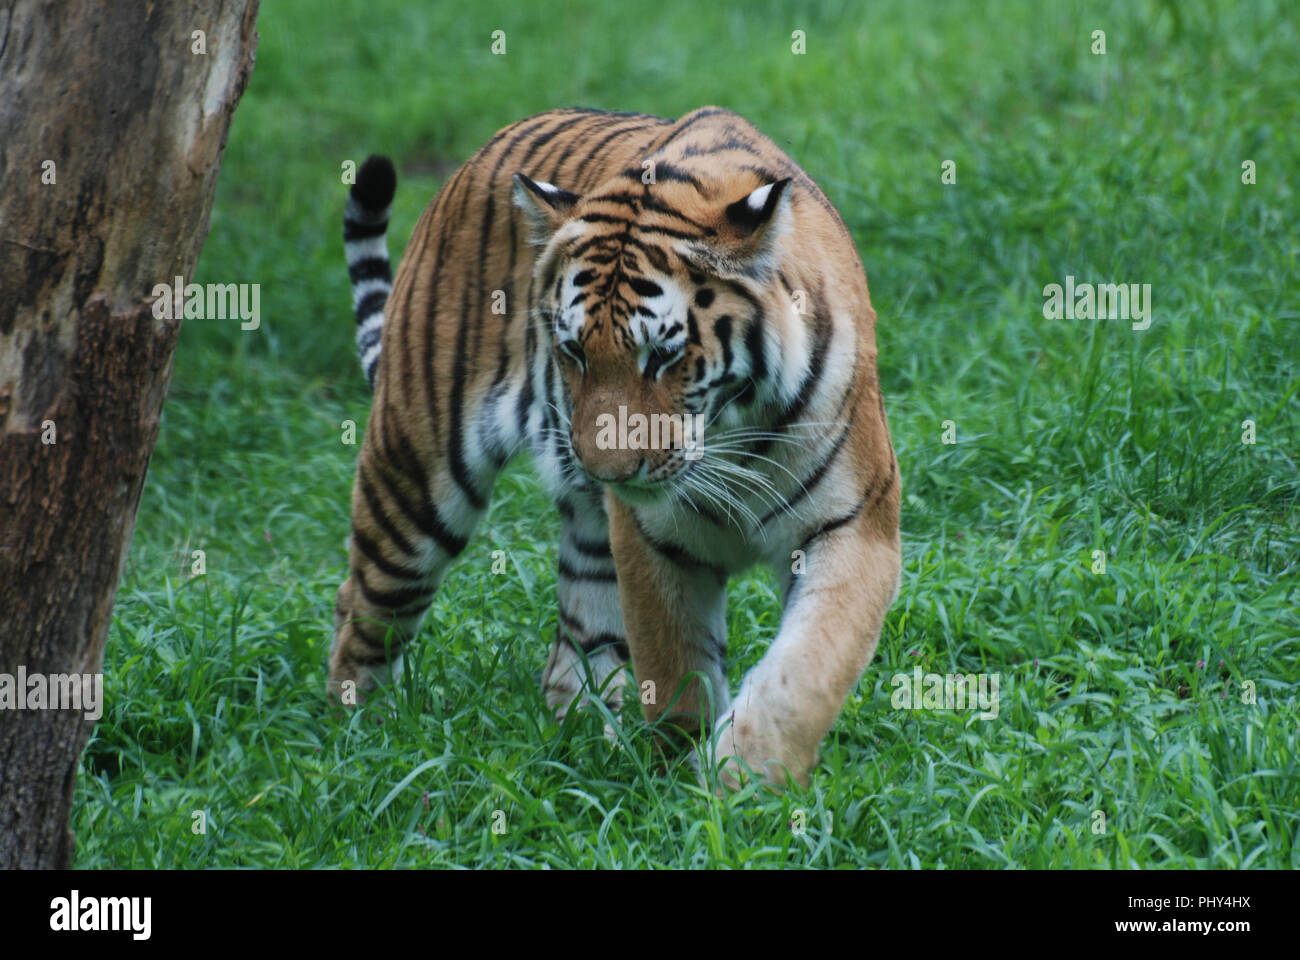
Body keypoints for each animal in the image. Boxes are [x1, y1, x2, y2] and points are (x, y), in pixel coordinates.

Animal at [329, 106, 901, 787]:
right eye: (573, 351)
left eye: (664, 355)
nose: (606, 470)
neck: (731, 436)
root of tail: (477, 156)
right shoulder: (652, 538)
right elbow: (675, 671)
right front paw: (681, 776)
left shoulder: (854, 526)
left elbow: (803, 674)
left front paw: (742, 786)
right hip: (414, 483)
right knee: (360, 611)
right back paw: (356, 750)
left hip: (588, 540)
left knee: (569, 650)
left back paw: (584, 745)